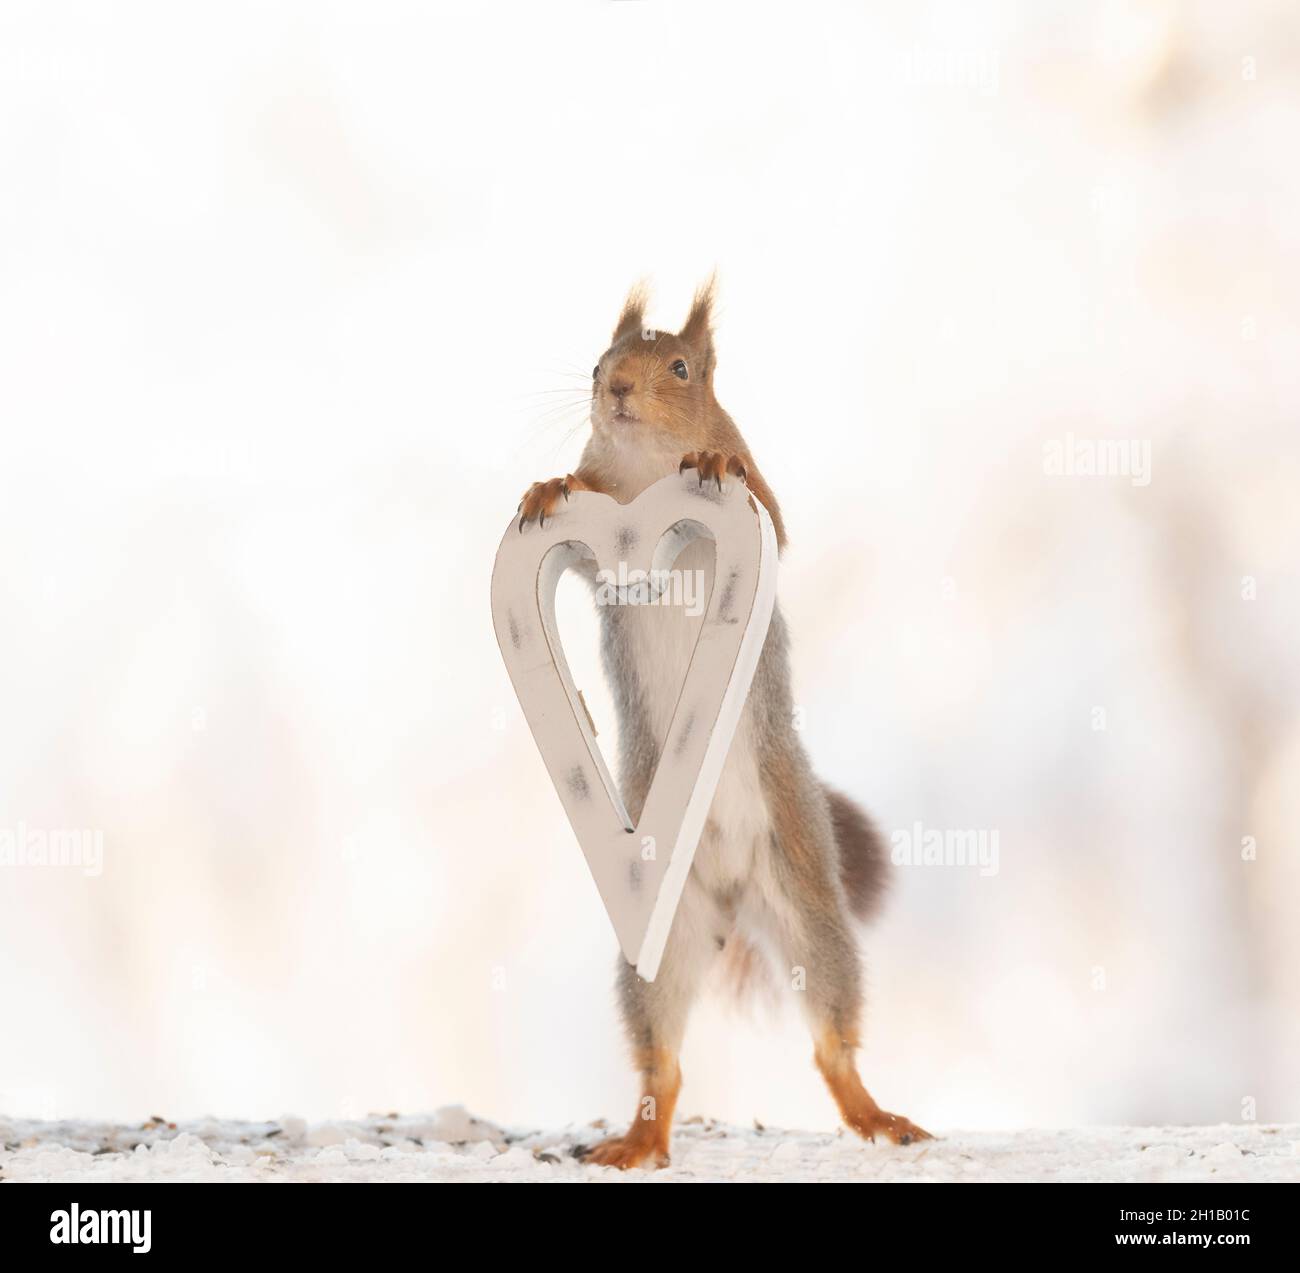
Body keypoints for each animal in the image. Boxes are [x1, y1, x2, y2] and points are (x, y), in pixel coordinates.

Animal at [517, 280, 931, 1168]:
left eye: (681, 368)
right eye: (600, 362)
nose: (617, 389)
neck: (644, 472)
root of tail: (737, 898)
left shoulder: (761, 510)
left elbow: (767, 512)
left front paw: (710, 463)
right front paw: (546, 486)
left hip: (807, 901)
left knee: (831, 1040)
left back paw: (875, 1112)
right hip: (661, 941)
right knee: (661, 1060)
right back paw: (638, 1138)